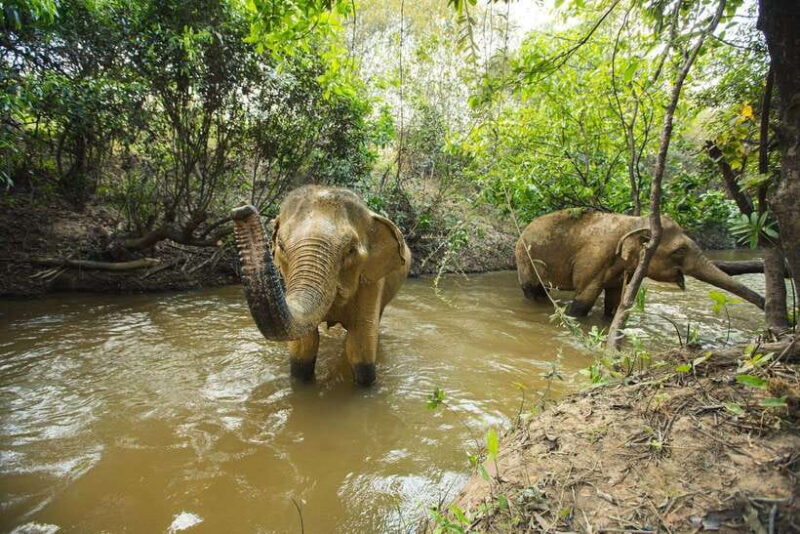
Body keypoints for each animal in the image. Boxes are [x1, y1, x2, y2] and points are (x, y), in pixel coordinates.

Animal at [231, 185, 411, 386]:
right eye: (281, 246)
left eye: (350, 250)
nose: (241, 210)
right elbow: (304, 345)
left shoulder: (371, 281)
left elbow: (360, 344)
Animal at [515, 210, 765, 317]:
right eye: (680, 250)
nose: (765, 303)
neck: (635, 221)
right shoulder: (593, 260)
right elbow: (582, 303)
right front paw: (572, 316)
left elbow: (614, 302)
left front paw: (609, 318)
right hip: (525, 259)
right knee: (532, 290)